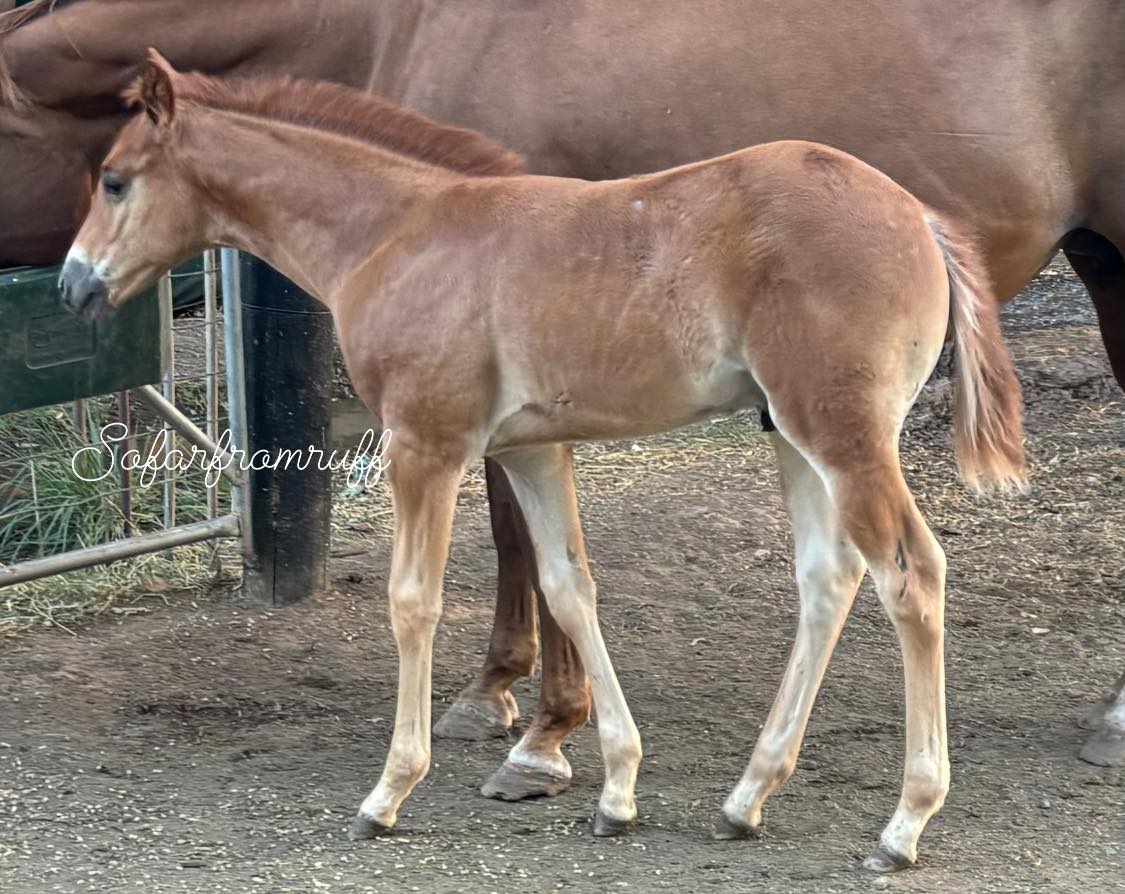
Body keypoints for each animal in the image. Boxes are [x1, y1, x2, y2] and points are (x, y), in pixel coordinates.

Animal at [2, 0, 1122, 779]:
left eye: (113, 178)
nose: (70, 287)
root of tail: (917, 217)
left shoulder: (455, 419)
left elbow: (470, 567)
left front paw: (503, 739)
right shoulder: (526, 418)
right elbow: (555, 563)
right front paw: (550, 730)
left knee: (902, 572)